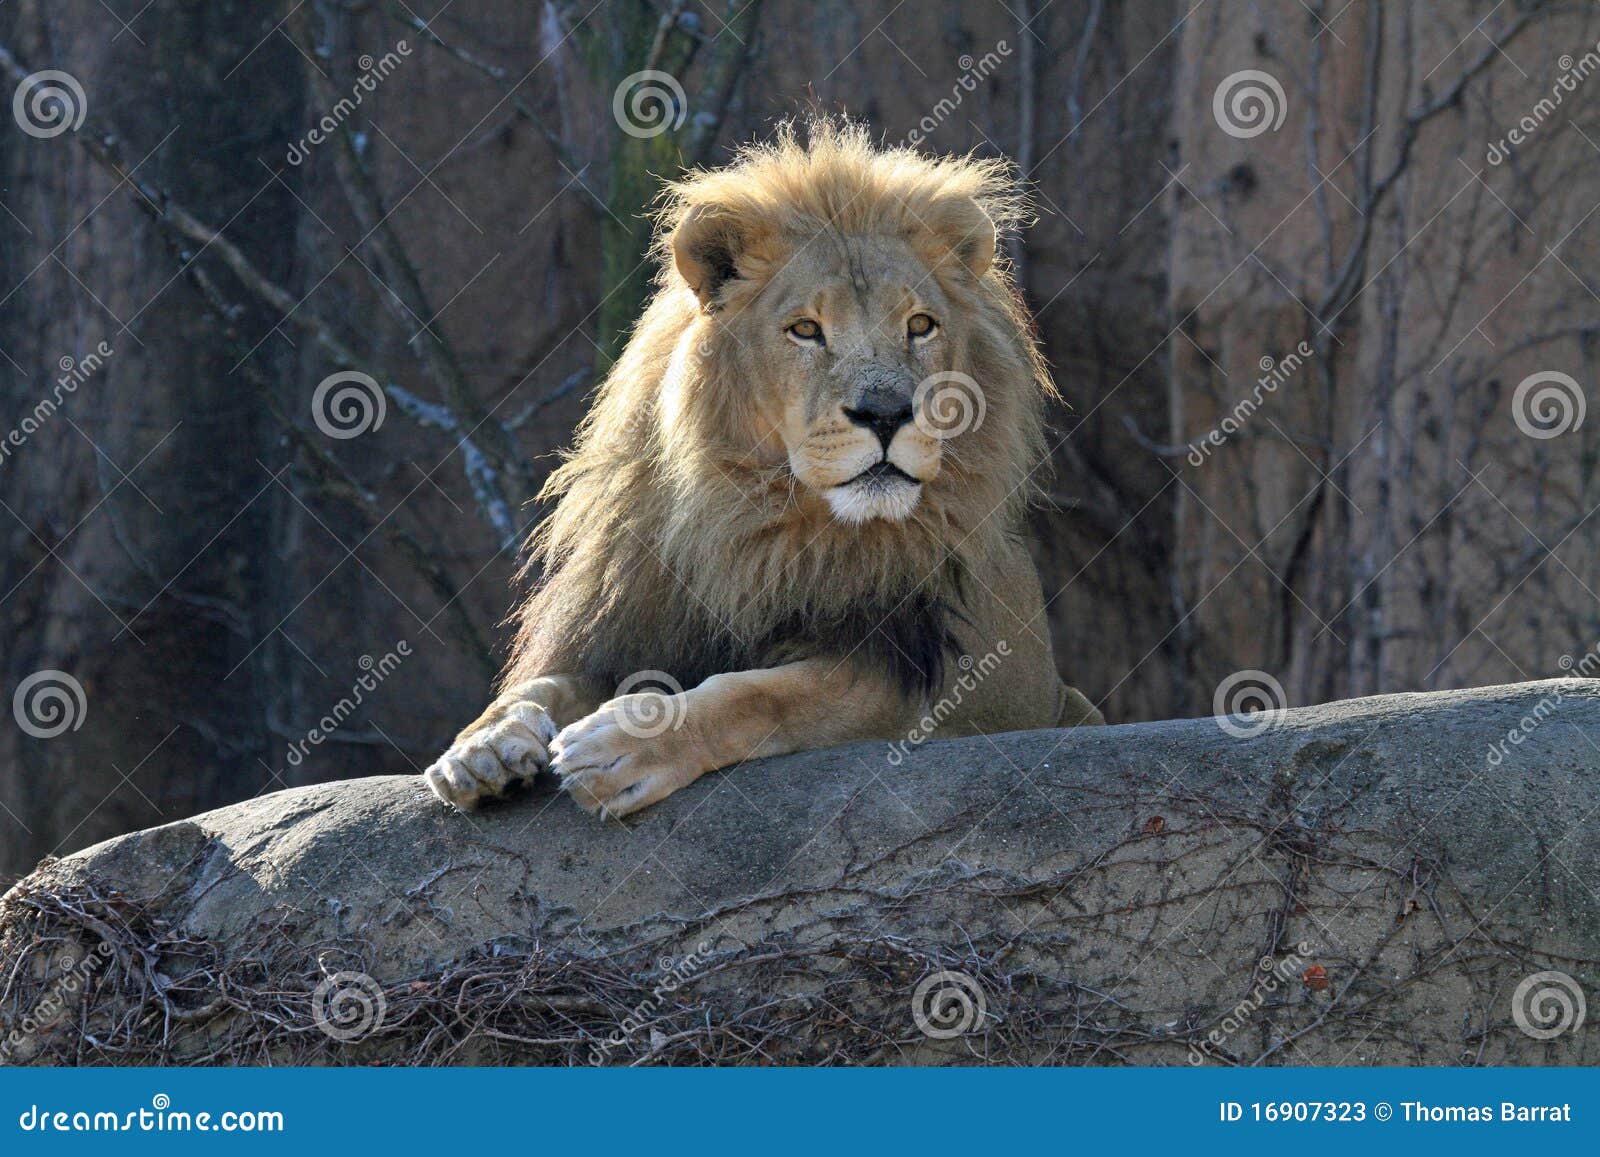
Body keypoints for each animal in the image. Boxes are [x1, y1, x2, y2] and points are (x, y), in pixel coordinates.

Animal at [424, 117, 1103, 819]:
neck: (758, 517)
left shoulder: (930, 673)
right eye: (805, 329)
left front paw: (626, 742)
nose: (887, 413)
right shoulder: (635, 625)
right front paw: (483, 746)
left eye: (920, 325)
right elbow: (543, 687)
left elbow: (766, 692)